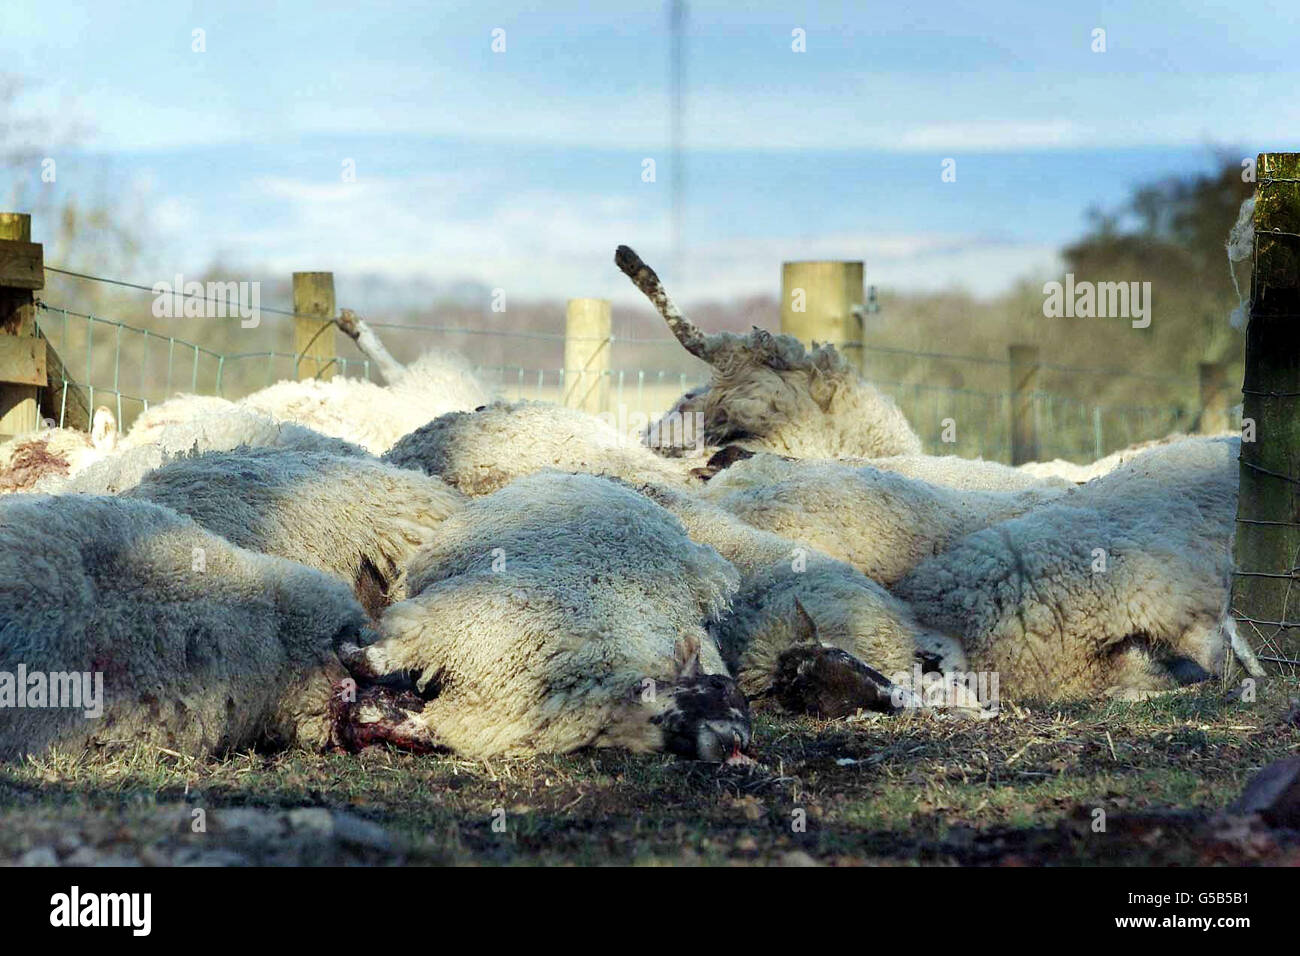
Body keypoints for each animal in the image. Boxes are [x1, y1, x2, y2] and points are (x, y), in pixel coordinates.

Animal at [341, 471, 753, 761]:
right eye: (719, 685)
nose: (742, 742)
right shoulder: (446, 624)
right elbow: (373, 662)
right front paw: (349, 650)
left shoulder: (480, 720)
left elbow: (414, 725)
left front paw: (369, 717)